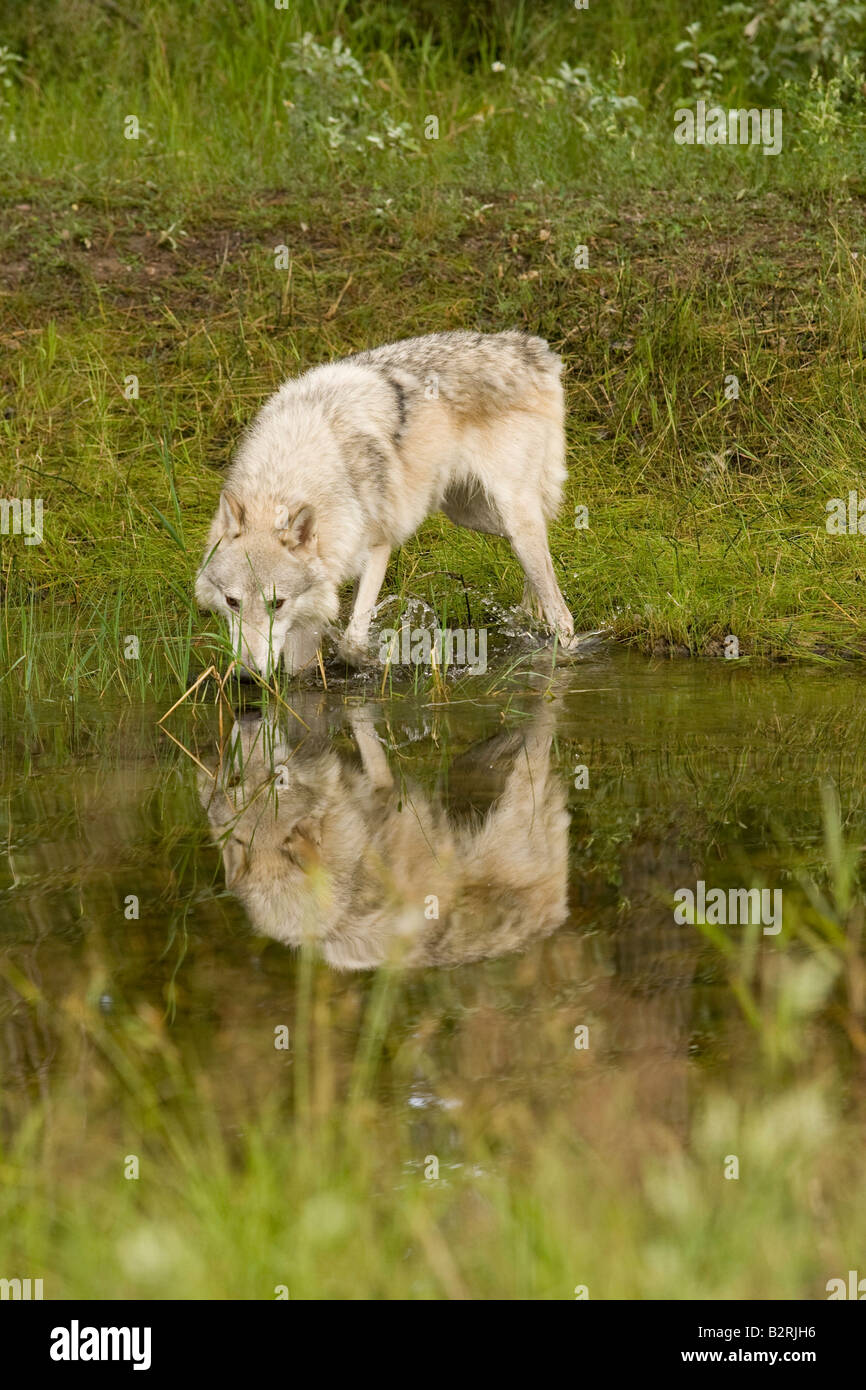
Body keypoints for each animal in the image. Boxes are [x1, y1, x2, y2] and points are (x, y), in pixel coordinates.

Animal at [194, 330, 576, 675]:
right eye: (232, 602)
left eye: (277, 603)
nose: (247, 674)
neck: (289, 470)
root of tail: (532, 349)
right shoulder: (315, 599)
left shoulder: (377, 547)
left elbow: (351, 641)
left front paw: (375, 662)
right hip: (473, 515)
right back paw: (531, 614)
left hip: (511, 519)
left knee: (563, 612)